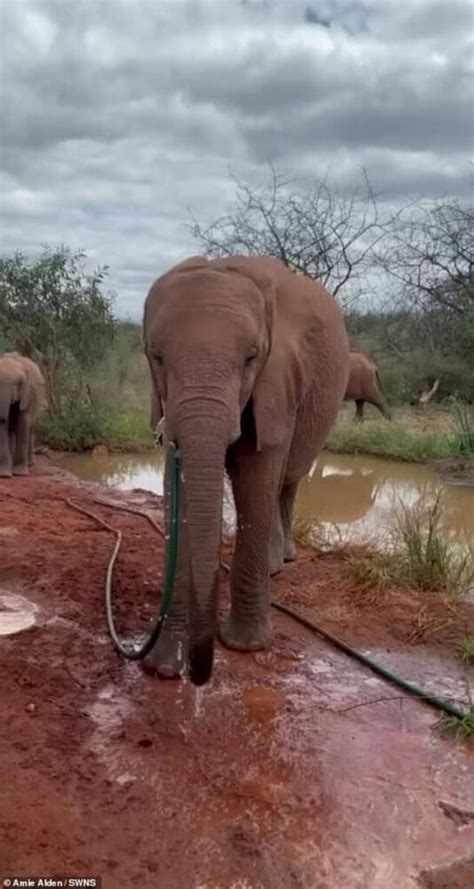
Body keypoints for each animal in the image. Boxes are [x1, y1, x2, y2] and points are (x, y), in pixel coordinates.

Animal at [142, 254, 350, 685]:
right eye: (157, 357)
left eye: (251, 357)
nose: (198, 676)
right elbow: (179, 492)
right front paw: (165, 666)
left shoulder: (279, 381)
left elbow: (257, 481)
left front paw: (246, 646)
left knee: (286, 482)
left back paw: (279, 563)